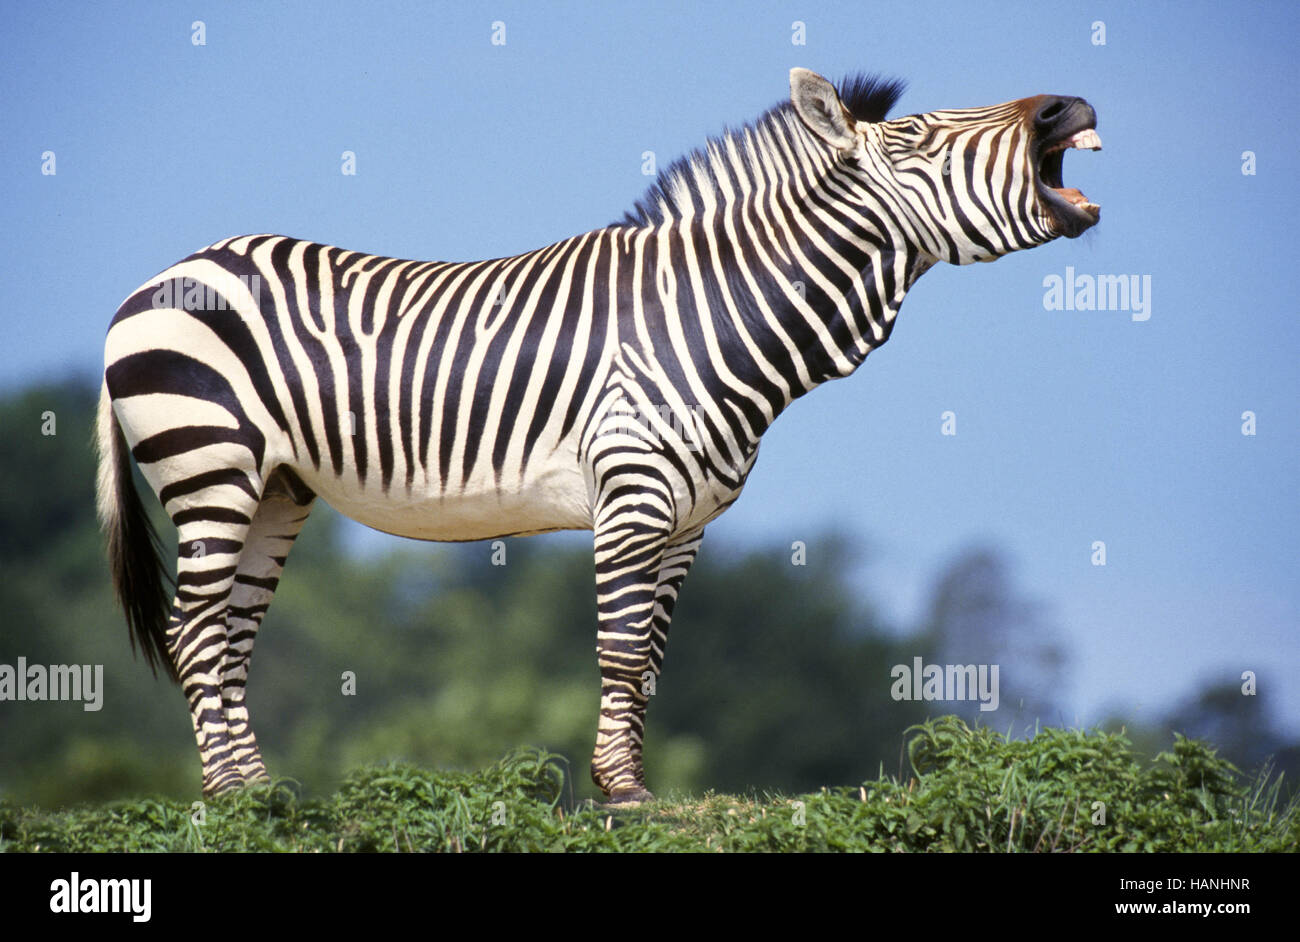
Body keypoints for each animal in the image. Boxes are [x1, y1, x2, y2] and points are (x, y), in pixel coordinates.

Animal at [97, 68, 1100, 802]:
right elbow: (620, 646)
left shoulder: (690, 518)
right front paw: (623, 794)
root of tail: (150, 283)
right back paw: (228, 795)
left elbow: (650, 657)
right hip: (210, 464)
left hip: (275, 486)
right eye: (917, 138)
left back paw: (259, 792)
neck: (712, 316)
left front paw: (629, 781)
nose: (1070, 104)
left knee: (232, 630)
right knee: (194, 629)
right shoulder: (632, 490)